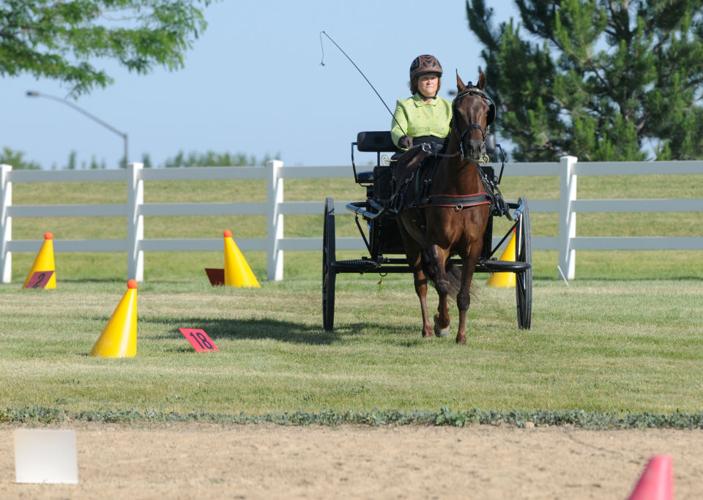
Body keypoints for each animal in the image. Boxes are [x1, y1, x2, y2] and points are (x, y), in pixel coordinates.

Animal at [396, 70, 495, 344]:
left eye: (487, 110)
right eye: (457, 111)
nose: (473, 148)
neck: (459, 190)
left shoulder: (473, 246)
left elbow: (462, 293)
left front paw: (461, 335)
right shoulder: (435, 243)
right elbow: (440, 284)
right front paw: (443, 322)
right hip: (410, 240)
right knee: (421, 283)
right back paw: (428, 328)